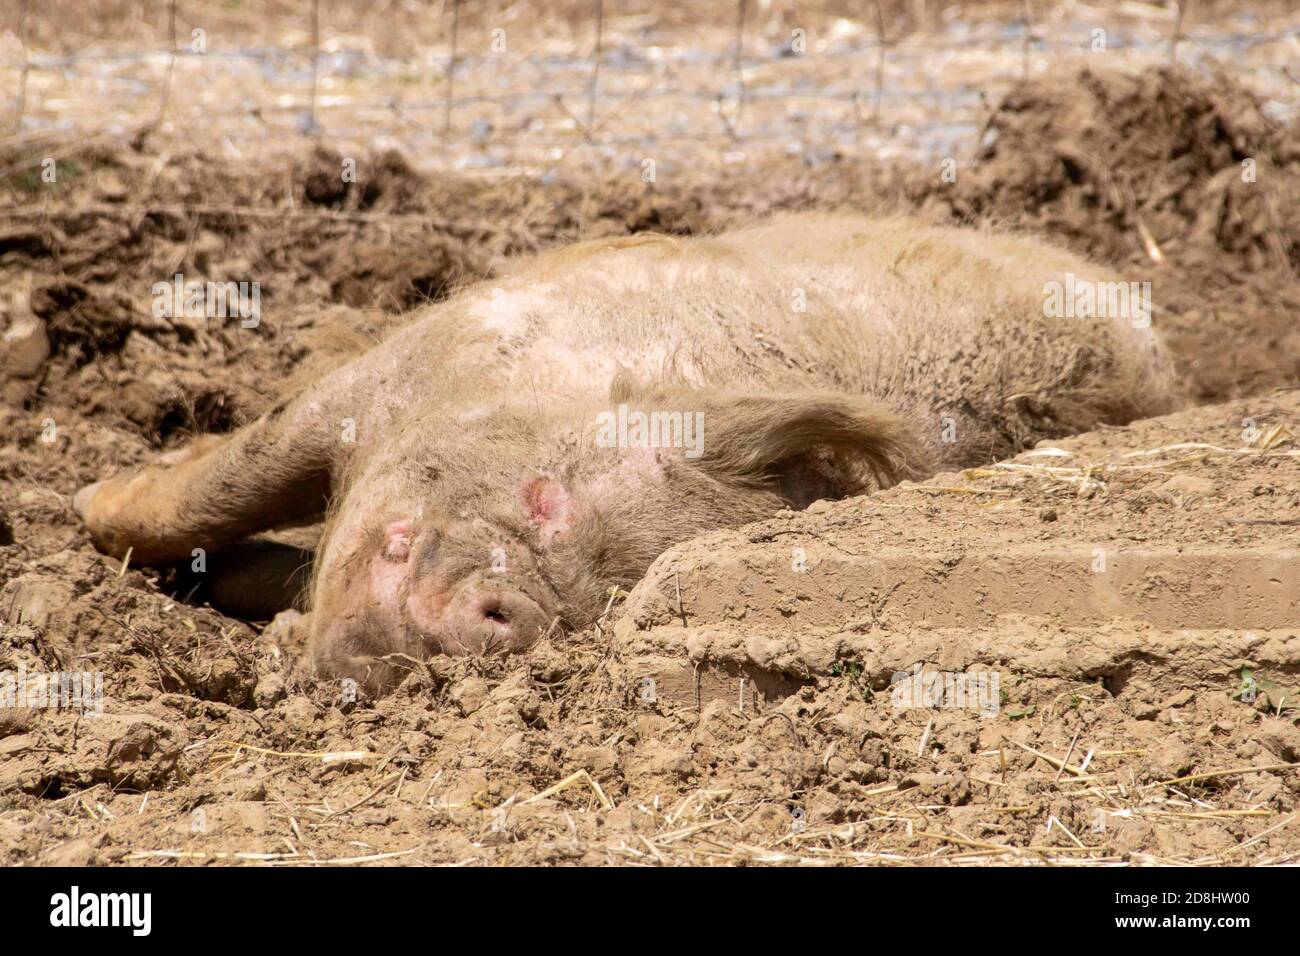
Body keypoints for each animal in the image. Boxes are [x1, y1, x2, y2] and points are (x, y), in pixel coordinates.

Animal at [75, 213, 1180, 693]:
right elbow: (226, 479)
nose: (514, 612)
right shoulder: (401, 359)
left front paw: (266, 621)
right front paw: (83, 505)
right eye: (543, 498)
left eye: (604, 604)